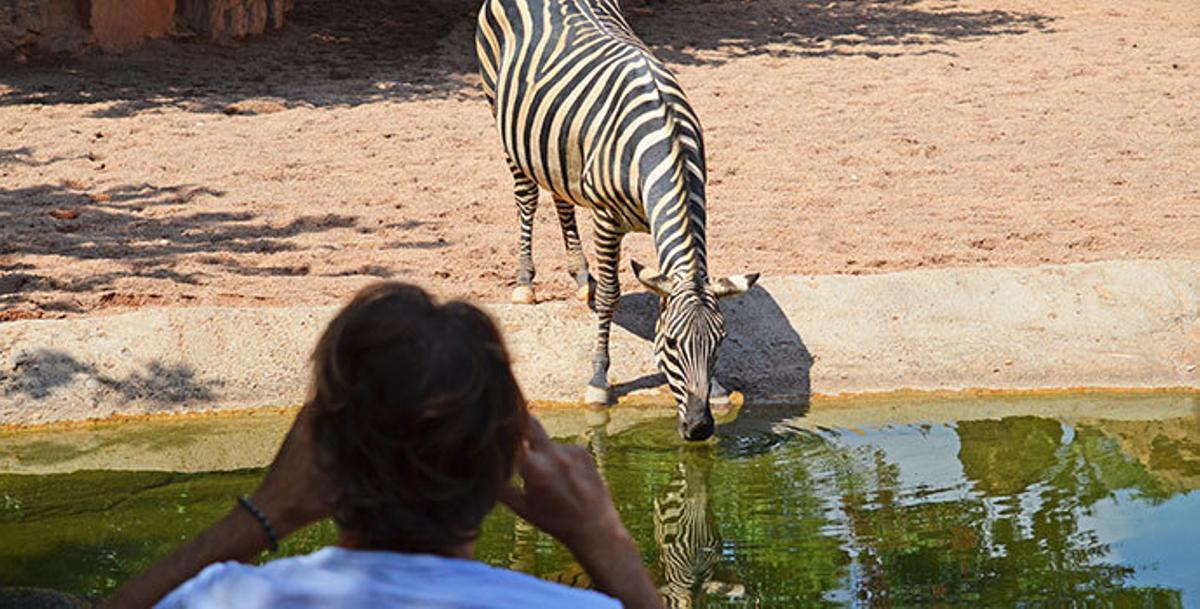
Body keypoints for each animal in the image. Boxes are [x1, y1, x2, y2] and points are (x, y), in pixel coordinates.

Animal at [476, 0, 758, 440]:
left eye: (720, 341)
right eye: (671, 343)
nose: (699, 429)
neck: (666, 144)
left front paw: (716, 387)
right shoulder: (607, 220)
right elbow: (611, 297)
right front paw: (598, 380)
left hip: (561, 153)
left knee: (561, 200)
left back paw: (580, 276)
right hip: (504, 122)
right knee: (527, 200)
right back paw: (525, 283)